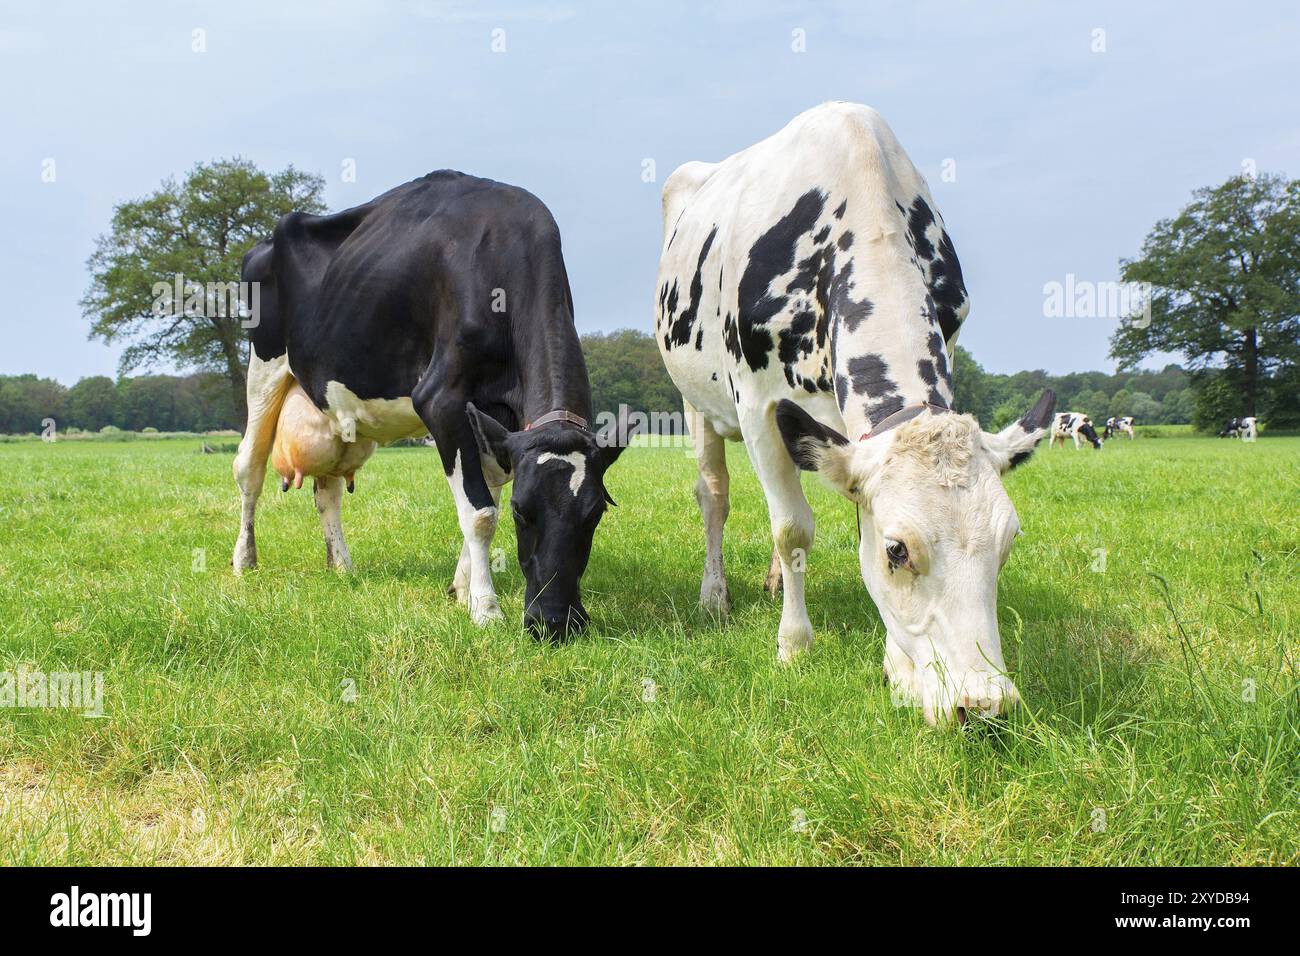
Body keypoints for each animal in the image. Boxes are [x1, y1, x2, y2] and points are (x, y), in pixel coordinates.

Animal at [231, 171, 623, 639]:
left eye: (595, 512)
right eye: (522, 511)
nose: (555, 622)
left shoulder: (498, 425)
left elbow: (484, 494)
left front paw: (463, 588)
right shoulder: (441, 400)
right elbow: (481, 511)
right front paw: (486, 608)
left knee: (327, 490)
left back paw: (341, 566)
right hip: (263, 367)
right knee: (249, 468)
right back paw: (244, 561)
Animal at [655, 102, 1056, 725]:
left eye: (1008, 541)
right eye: (898, 550)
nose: (984, 704)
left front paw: (895, 664)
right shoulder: (759, 405)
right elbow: (792, 528)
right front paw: (794, 645)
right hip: (695, 401)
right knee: (714, 493)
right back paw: (714, 595)